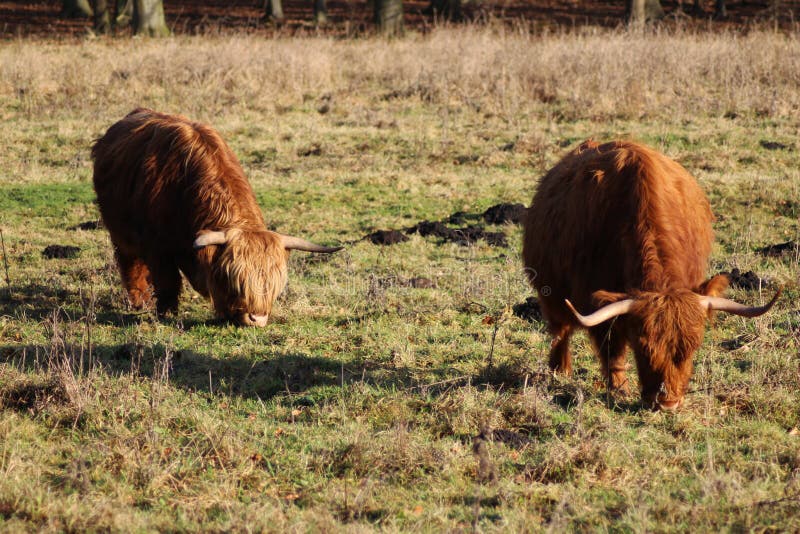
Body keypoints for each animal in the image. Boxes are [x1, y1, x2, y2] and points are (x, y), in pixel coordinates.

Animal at [92, 108, 342, 327]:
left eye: (274, 286)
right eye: (234, 281)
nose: (257, 319)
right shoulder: (159, 248)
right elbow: (167, 282)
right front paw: (166, 312)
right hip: (121, 234)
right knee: (131, 265)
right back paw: (139, 302)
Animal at [522, 140, 779, 410]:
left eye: (692, 346)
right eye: (643, 347)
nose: (668, 403)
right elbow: (612, 350)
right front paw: (619, 389)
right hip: (550, 293)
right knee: (560, 332)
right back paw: (559, 371)